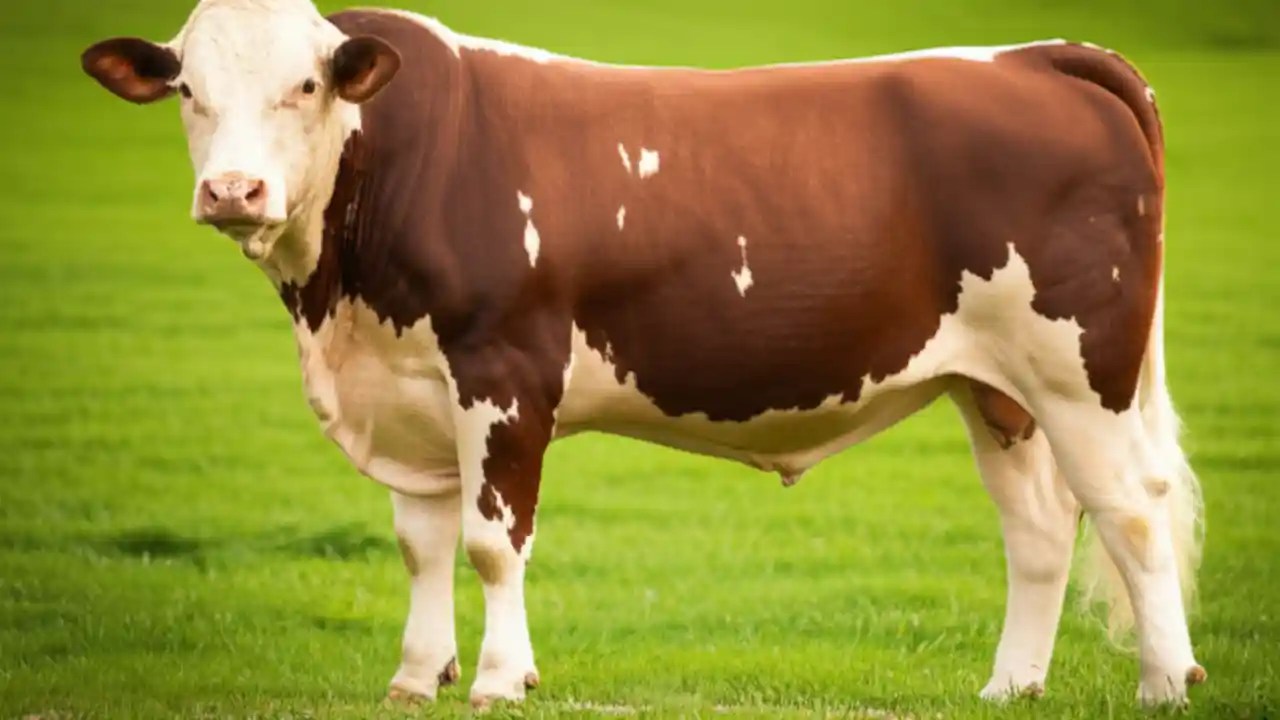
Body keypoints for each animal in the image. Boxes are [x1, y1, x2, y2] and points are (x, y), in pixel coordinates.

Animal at [81, 0, 1205, 708]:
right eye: (187, 90)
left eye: (307, 86)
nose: (233, 191)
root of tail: (1029, 54)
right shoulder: (408, 392)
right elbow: (421, 545)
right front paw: (414, 676)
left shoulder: (502, 378)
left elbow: (492, 544)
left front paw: (499, 679)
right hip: (995, 388)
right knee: (1038, 529)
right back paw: (1009, 685)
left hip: (1082, 372)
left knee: (1130, 510)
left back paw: (1164, 682)